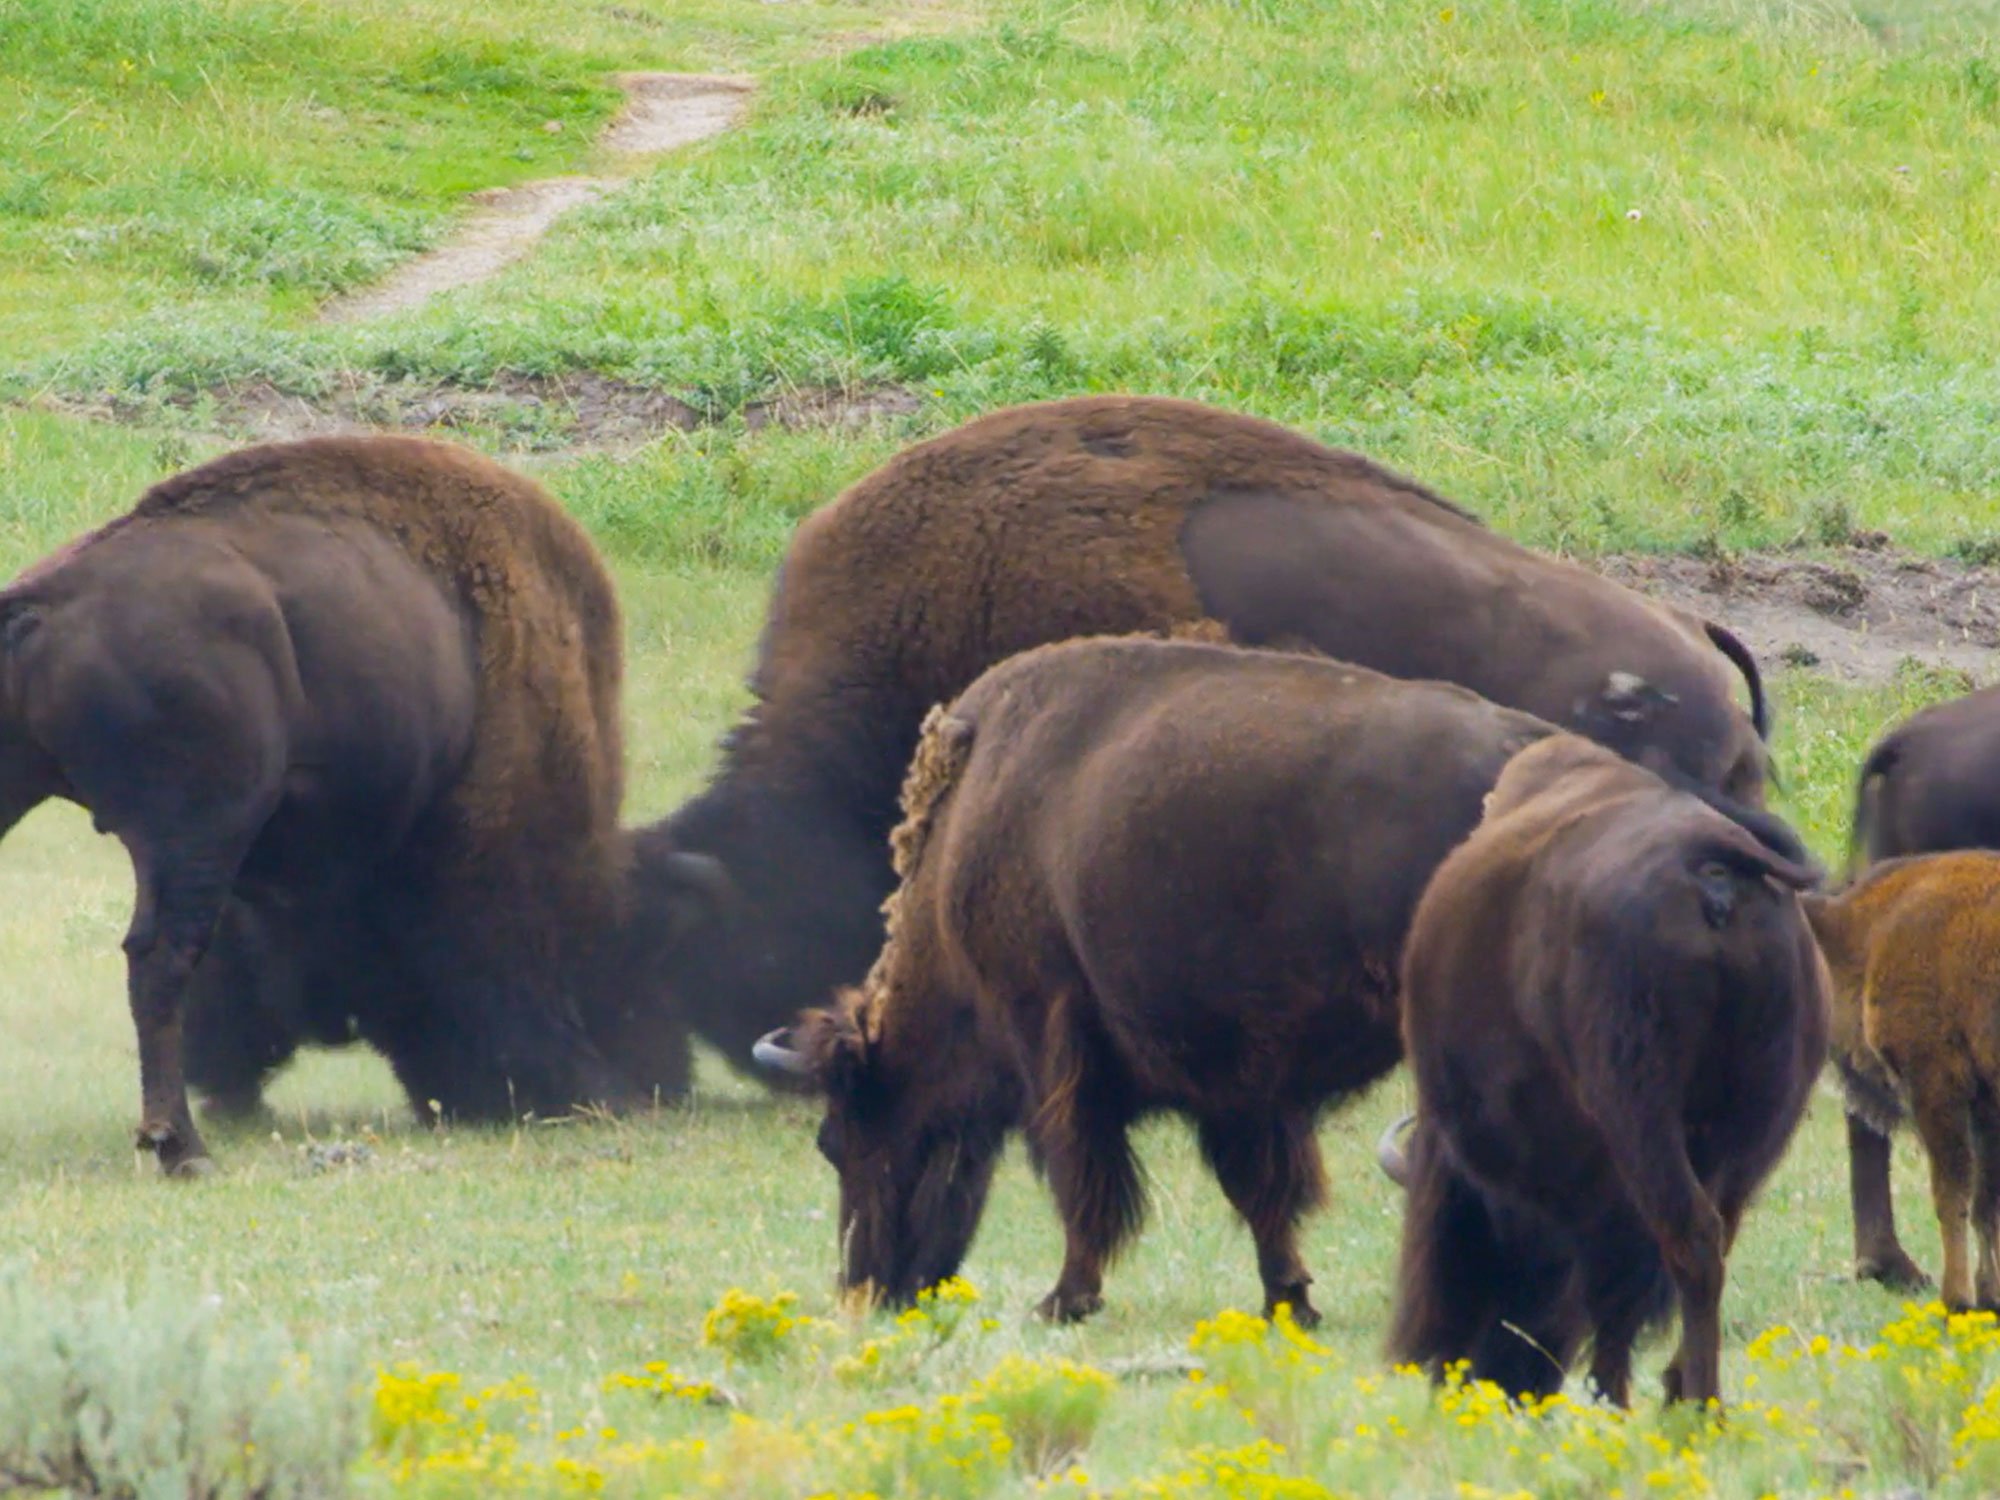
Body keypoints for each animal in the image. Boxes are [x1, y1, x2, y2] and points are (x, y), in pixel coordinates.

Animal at [0, 436, 723, 1173]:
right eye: (625, 954)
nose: (662, 1082)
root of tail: (44, 603)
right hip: (193, 831)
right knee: (160, 961)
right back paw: (182, 1147)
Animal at [1384, 736, 1826, 1407]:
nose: (1498, 1382)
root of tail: (1709, 863)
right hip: (1755, 1125)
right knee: (1716, 1237)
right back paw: (1679, 1391)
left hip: (1641, 1119)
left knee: (1688, 1241)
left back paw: (1685, 1403)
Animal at [1804, 851, 2000, 1311]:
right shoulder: (1984, 1104)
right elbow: (1986, 1204)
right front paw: (1989, 1298)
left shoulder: (1936, 1081)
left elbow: (1952, 1192)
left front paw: (1955, 1301)